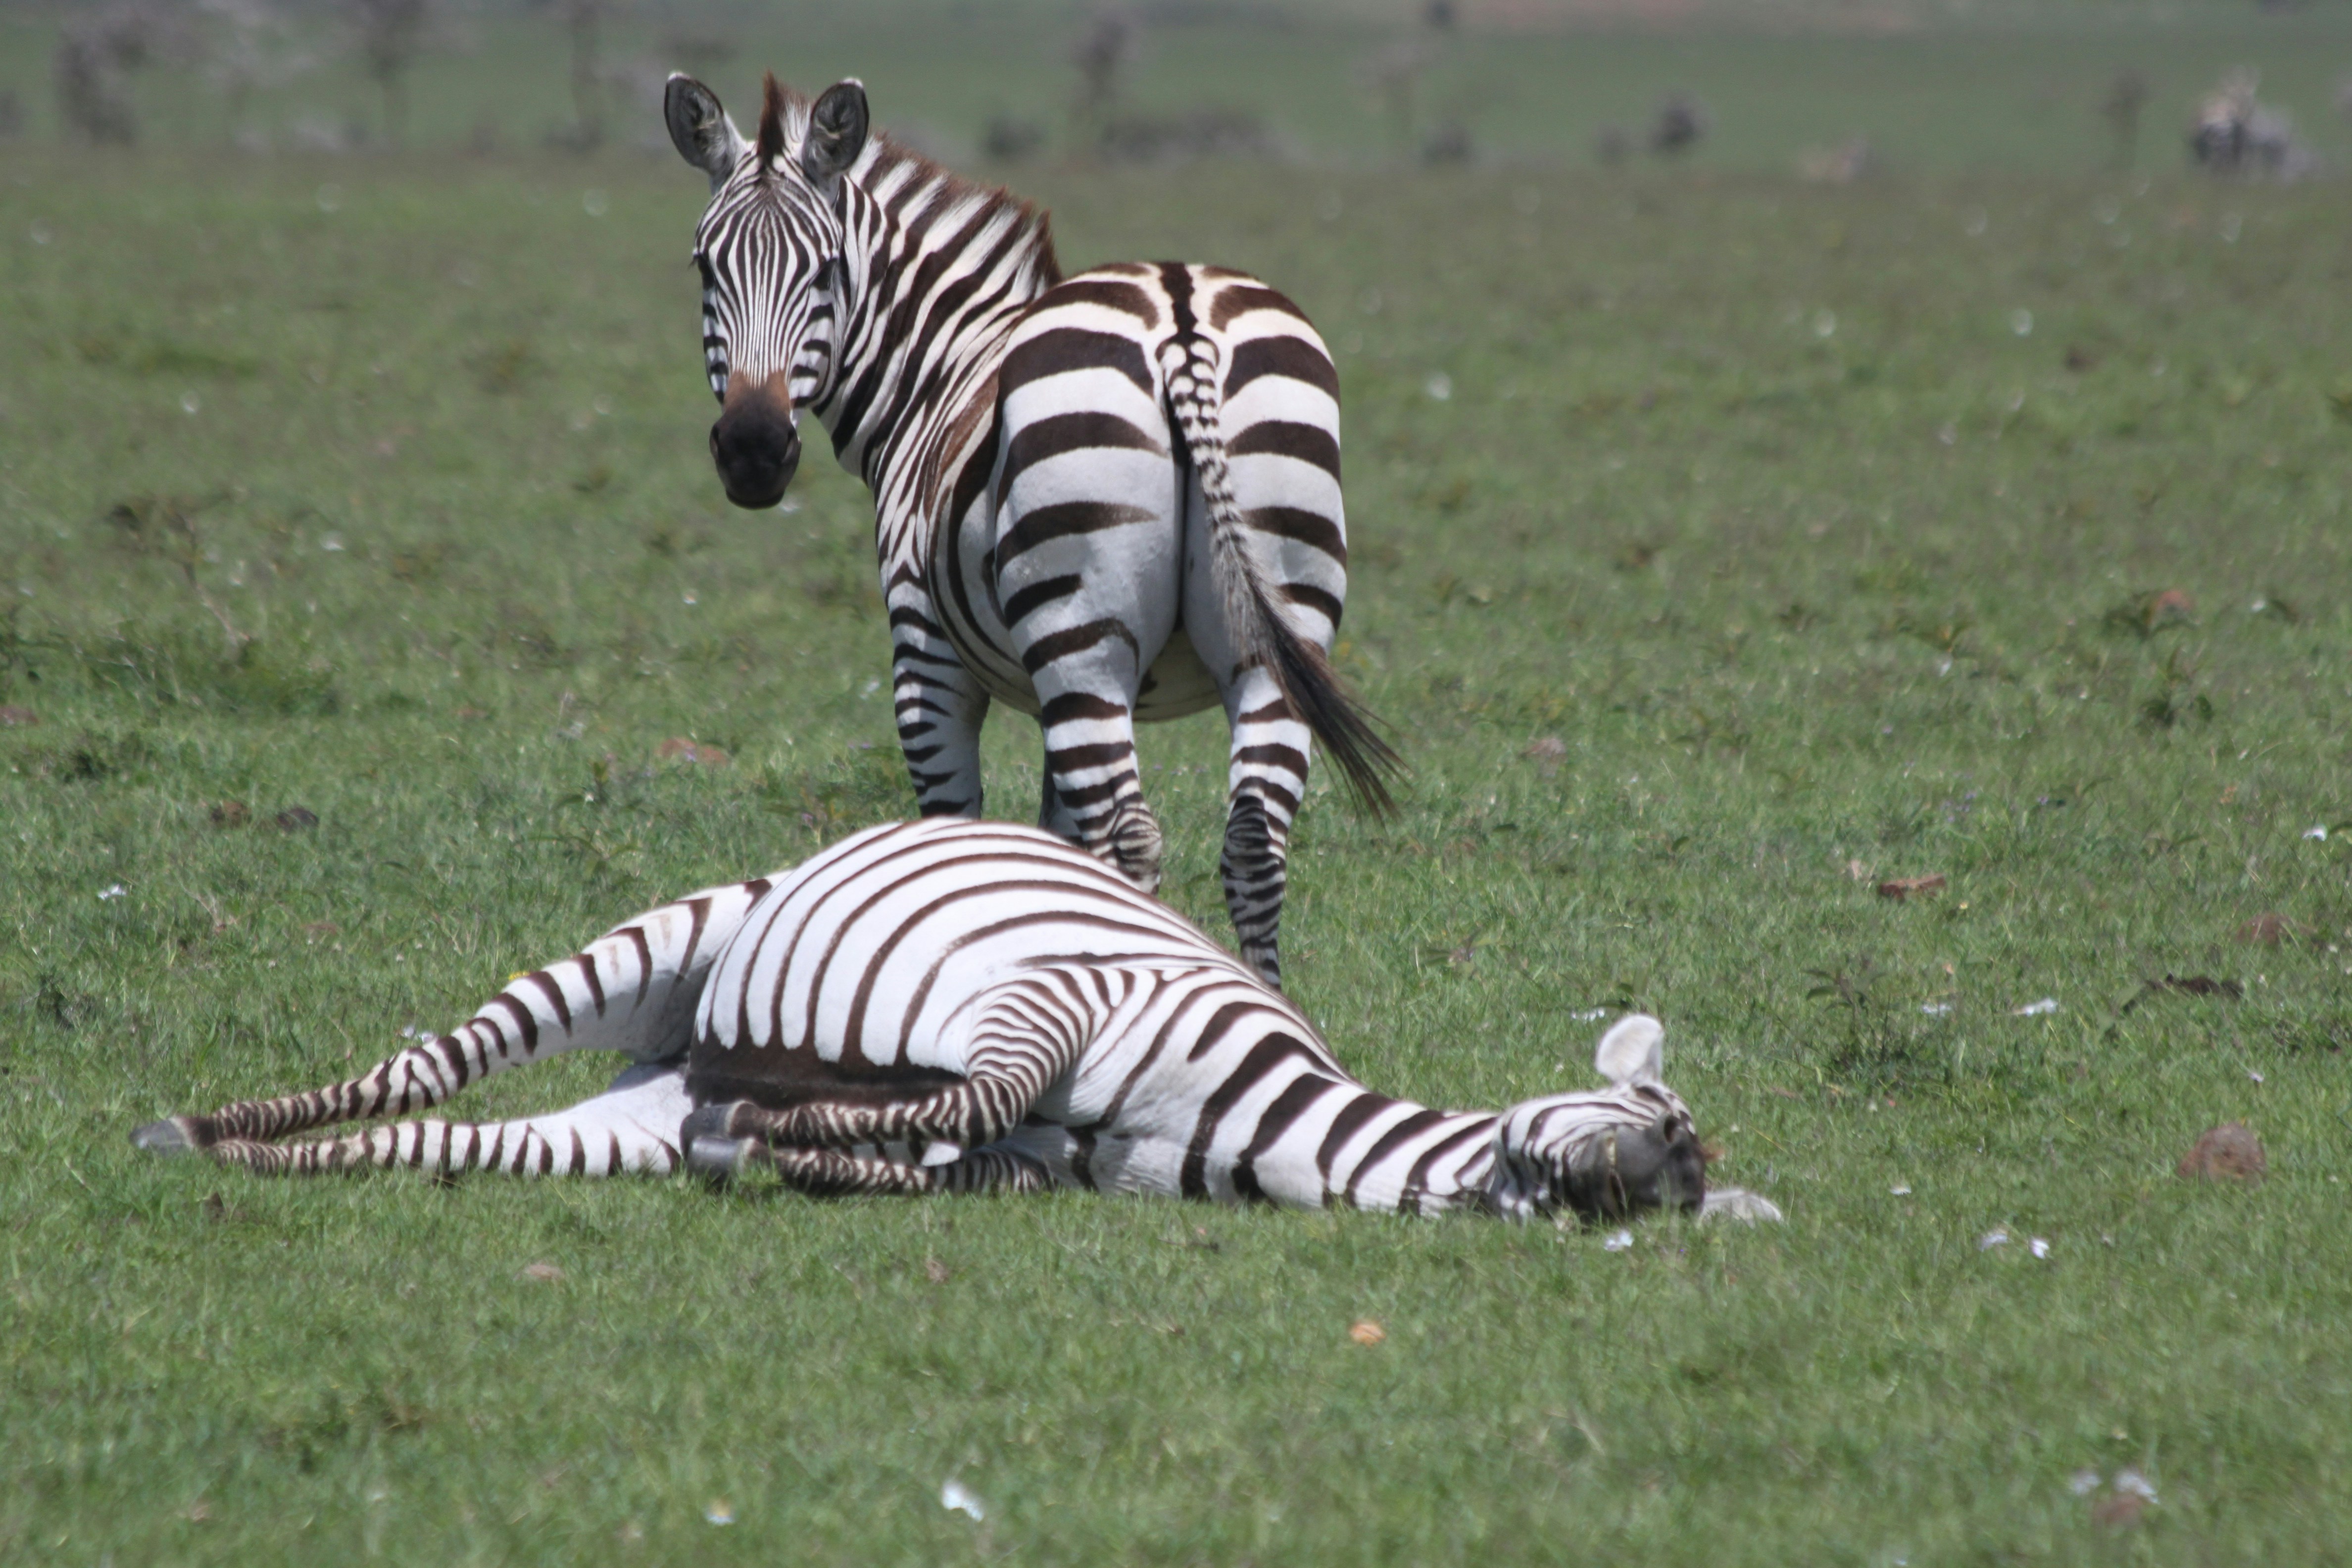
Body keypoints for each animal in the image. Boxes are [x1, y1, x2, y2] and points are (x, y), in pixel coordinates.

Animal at [664, 70, 1399, 989]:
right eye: (704, 265)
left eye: (828, 270)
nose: (754, 452)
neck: (939, 370)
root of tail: (1181, 315)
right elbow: (1059, 839)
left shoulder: (927, 657)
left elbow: (955, 831)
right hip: (1267, 634)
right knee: (1253, 842)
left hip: (1080, 635)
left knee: (1133, 840)